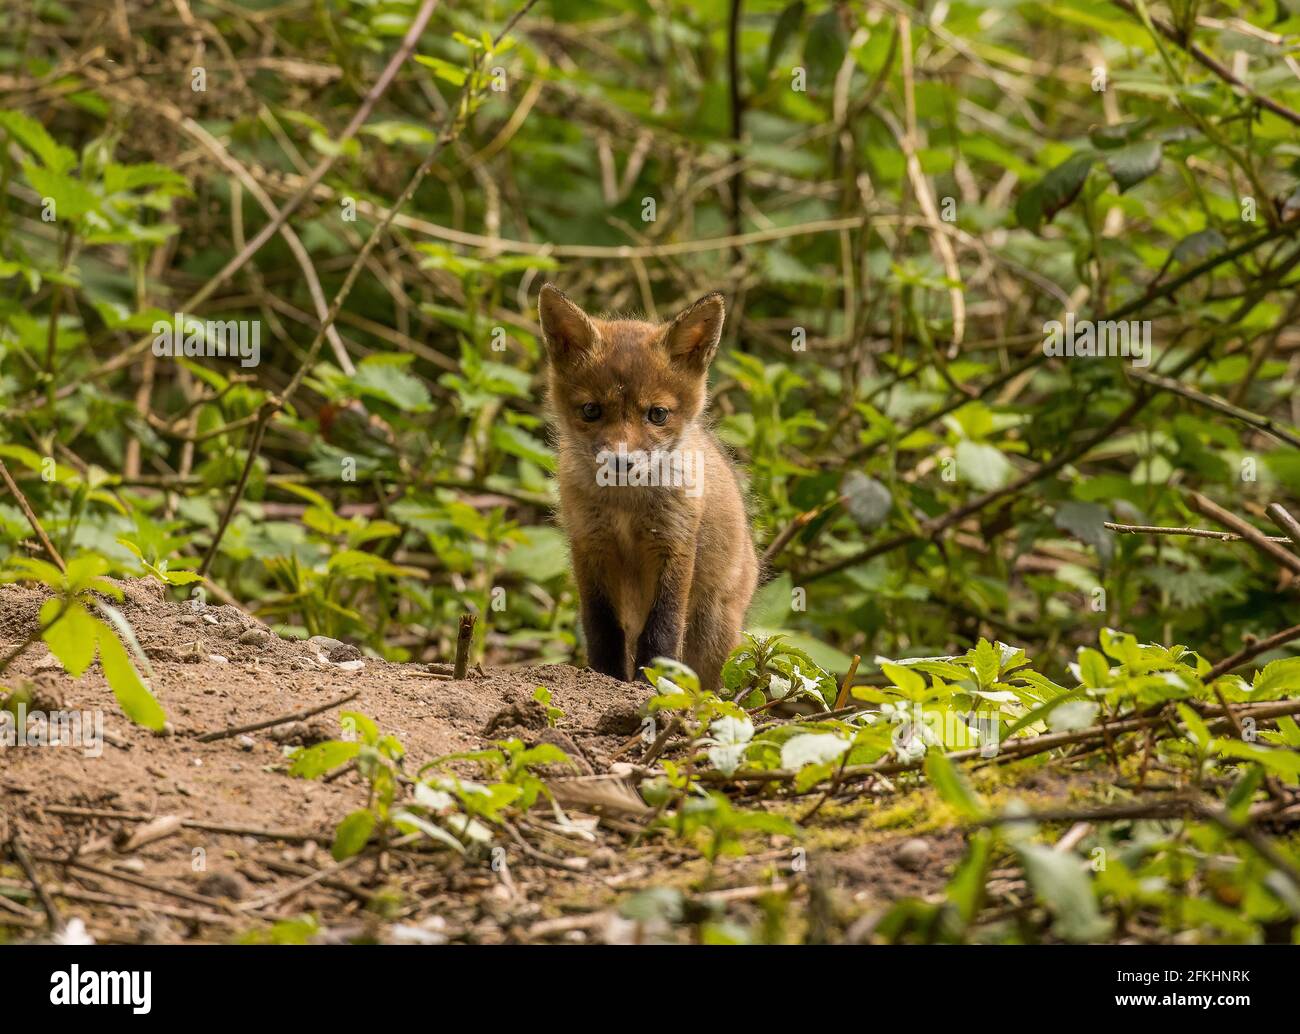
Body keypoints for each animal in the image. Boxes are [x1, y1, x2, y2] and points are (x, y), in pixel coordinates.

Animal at [538, 284, 758, 693]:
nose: (621, 461)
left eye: (657, 414)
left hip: (712, 626)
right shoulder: (590, 545)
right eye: (591, 410)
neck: (626, 507)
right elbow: (601, 627)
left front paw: (653, 681)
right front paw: (605, 677)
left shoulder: (674, 544)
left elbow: (663, 628)